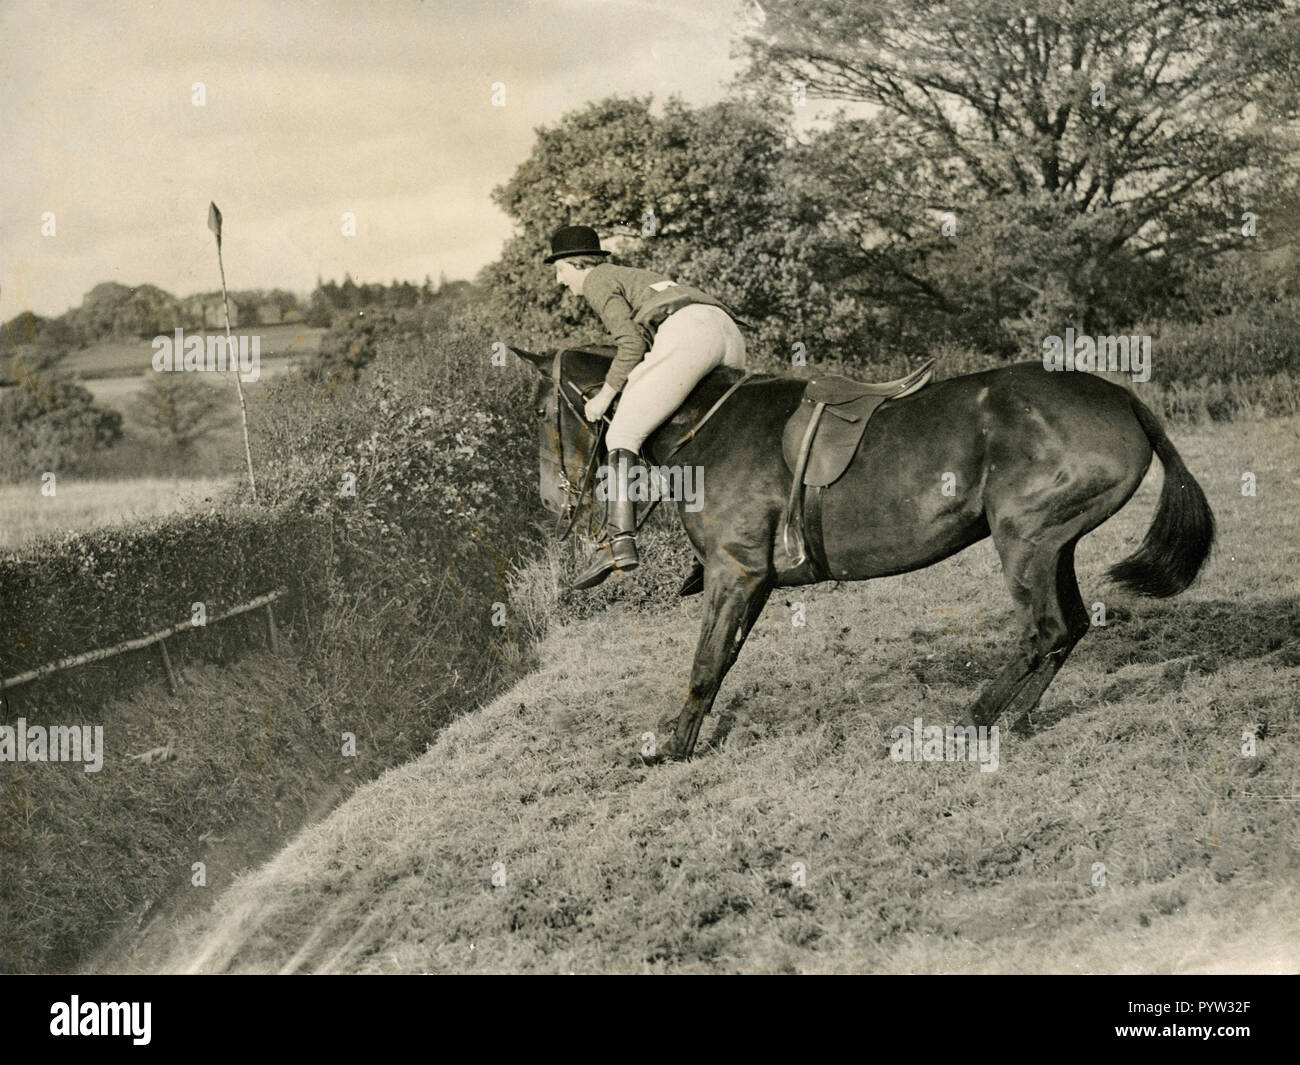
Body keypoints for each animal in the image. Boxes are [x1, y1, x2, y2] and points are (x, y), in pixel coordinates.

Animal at [511, 344, 1215, 762]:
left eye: (542, 410)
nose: (547, 501)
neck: (700, 428)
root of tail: (1122, 397)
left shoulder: (734, 572)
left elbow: (706, 663)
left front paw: (673, 751)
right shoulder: (751, 581)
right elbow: (723, 662)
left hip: (1026, 539)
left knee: (1045, 628)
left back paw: (971, 720)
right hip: (1053, 543)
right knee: (1066, 627)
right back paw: (1014, 720)